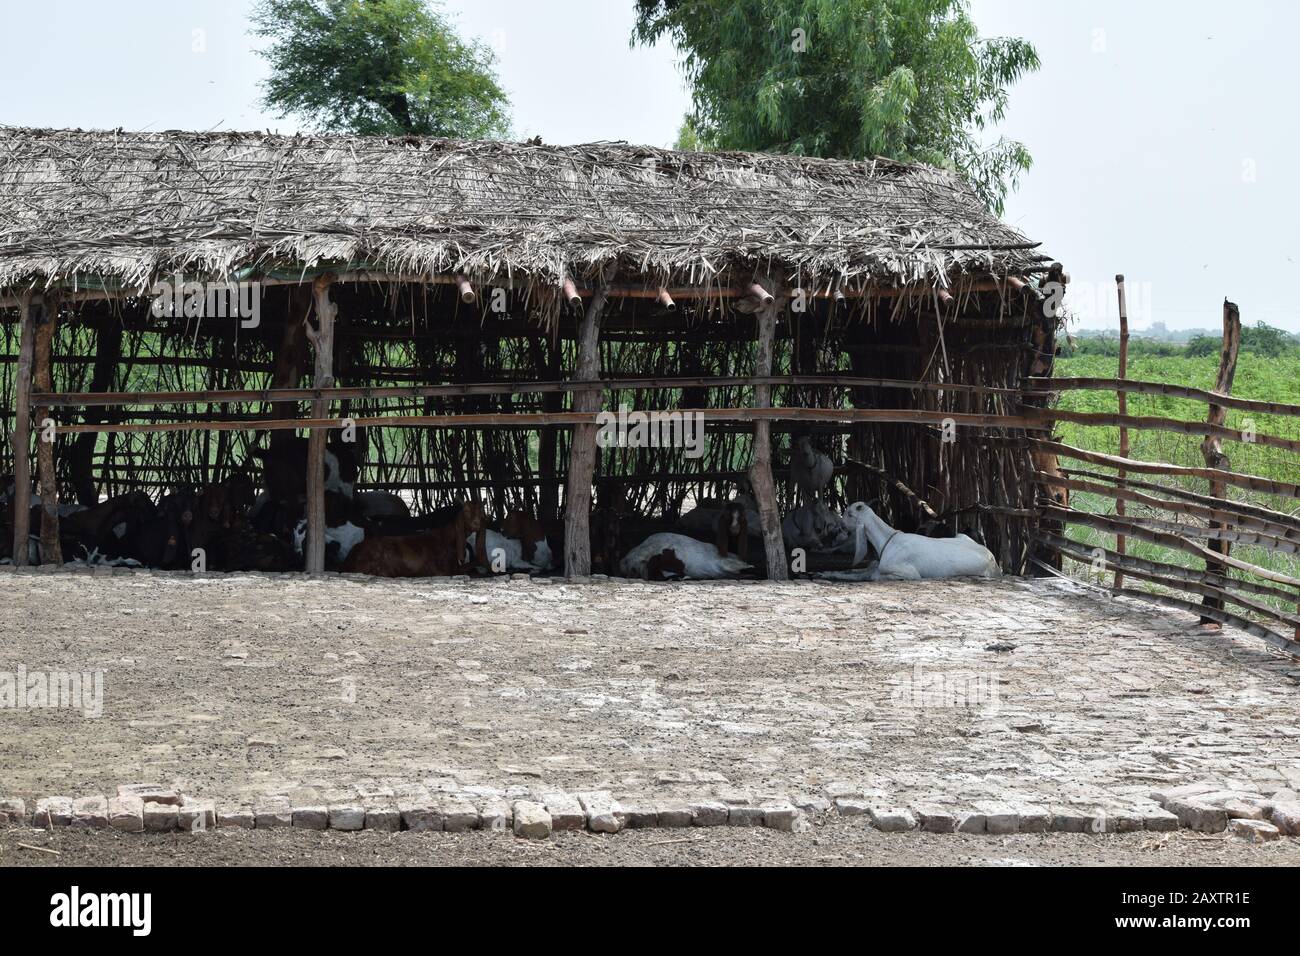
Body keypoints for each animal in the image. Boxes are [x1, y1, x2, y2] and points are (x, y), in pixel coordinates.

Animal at [841, 501, 999, 580]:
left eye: (849, 514)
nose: (841, 526)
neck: (888, 540)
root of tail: (992, 557)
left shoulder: (909, 573)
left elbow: (875, 575)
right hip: (960, 535)